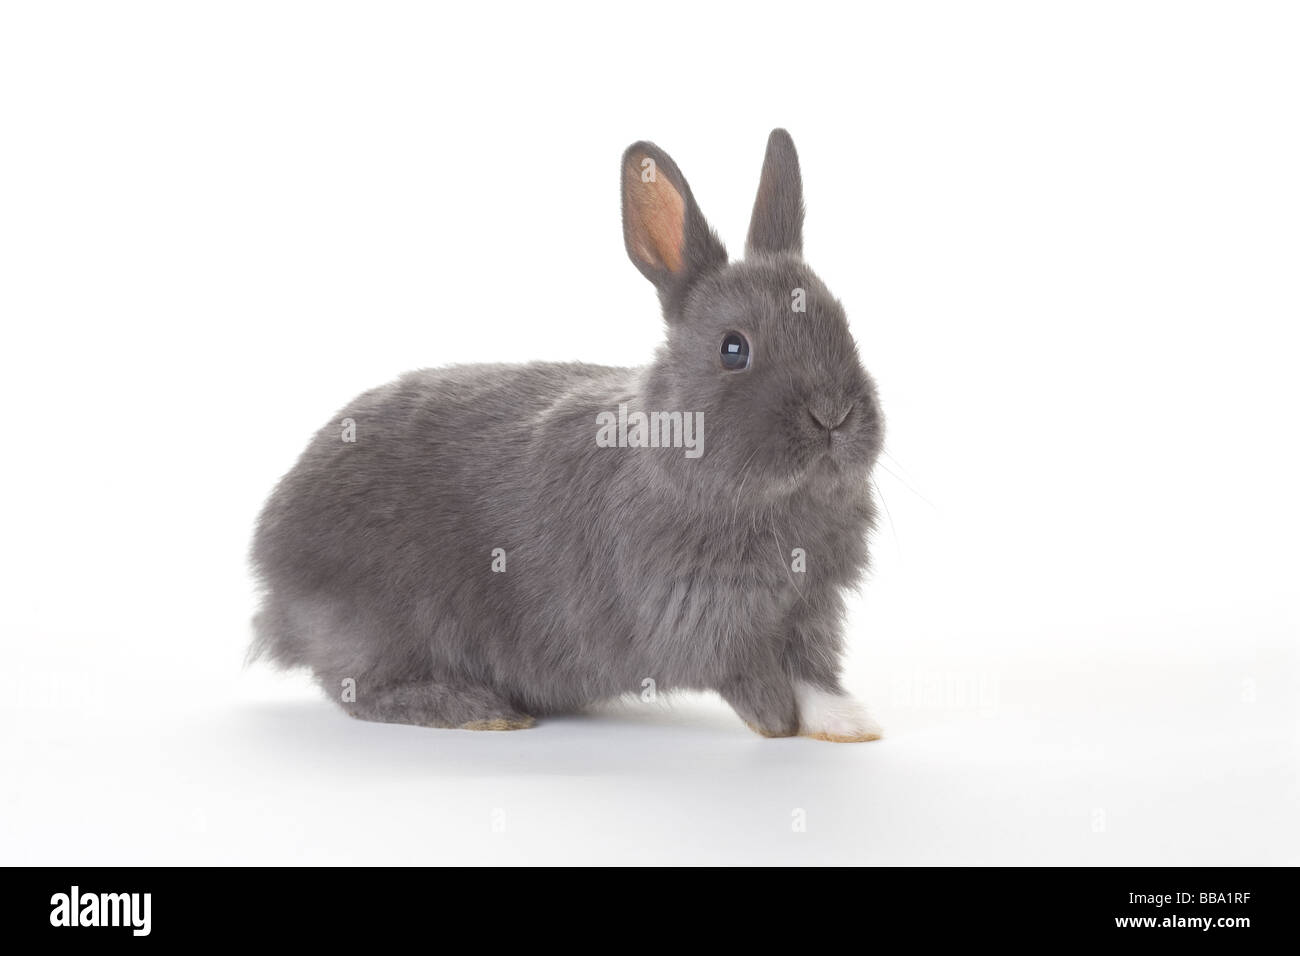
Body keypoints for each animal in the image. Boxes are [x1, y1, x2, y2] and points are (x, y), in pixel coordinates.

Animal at [250, 129, 886, 741]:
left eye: (842, 324)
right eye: (734, 349)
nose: (833, 415)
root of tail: (271, 562)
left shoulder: (808, 611)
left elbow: (813, 673)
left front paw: (849, 725)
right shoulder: (697, 616)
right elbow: (745, 674)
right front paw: (776, 721)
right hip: (383, 621)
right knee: (365, 690)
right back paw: (476, 710)